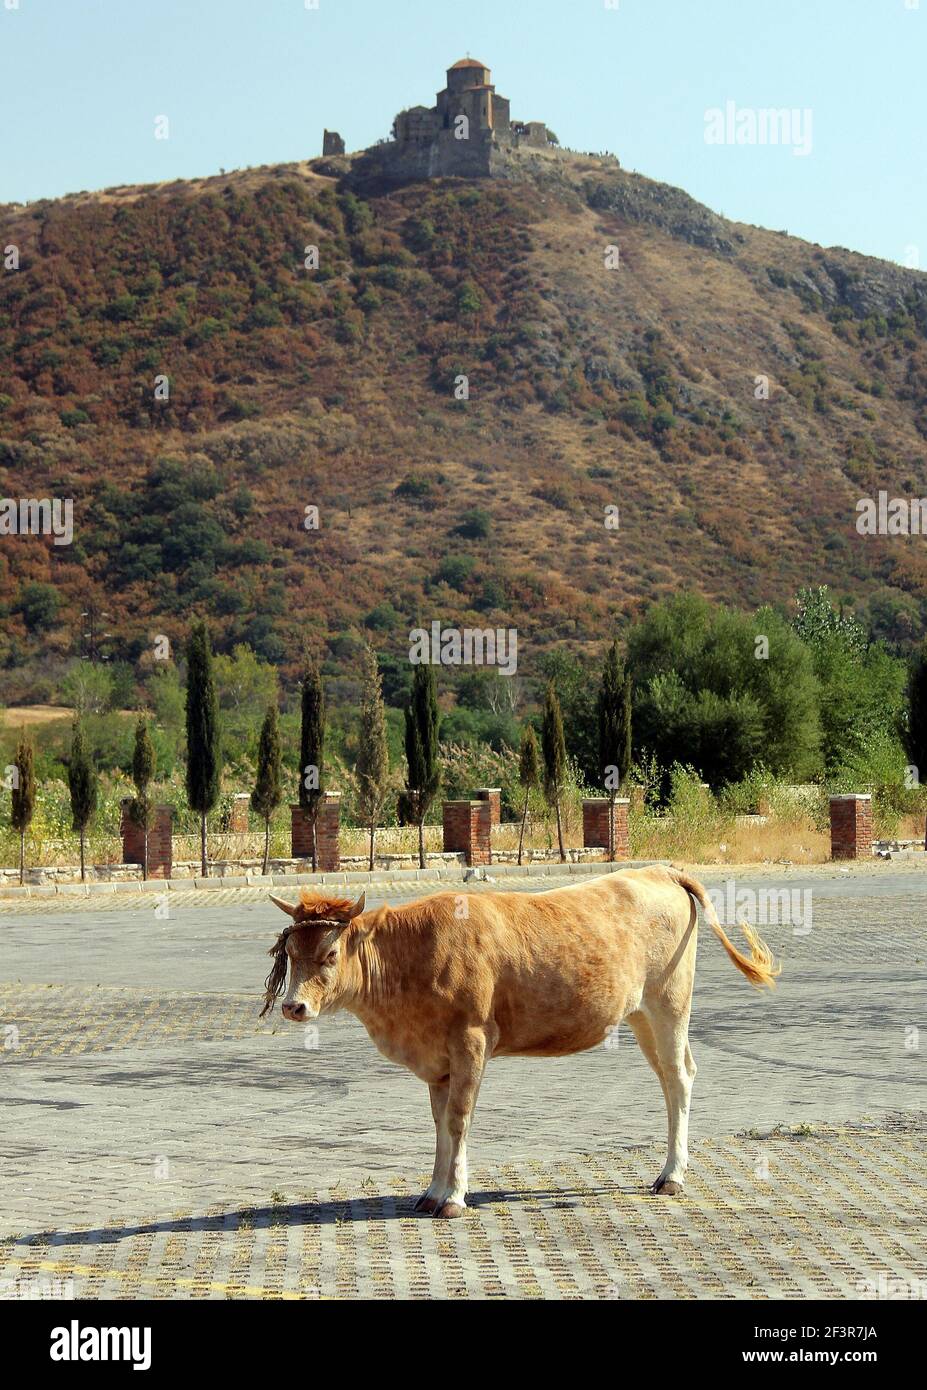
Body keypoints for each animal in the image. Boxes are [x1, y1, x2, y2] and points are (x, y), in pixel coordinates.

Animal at [261, 865, 779, 1218]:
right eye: (290, 952)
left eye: (330, 953)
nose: (293, 1007)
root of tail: (657, 869)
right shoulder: (438, 1060)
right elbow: (439, 1124)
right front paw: (432, 1192)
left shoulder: (471, 1041)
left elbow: (458, 1120)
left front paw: (454, 1197)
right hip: (641, 1016)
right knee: (673, 1078)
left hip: (669, 1005)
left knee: (678, 1078)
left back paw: (671, 1175)